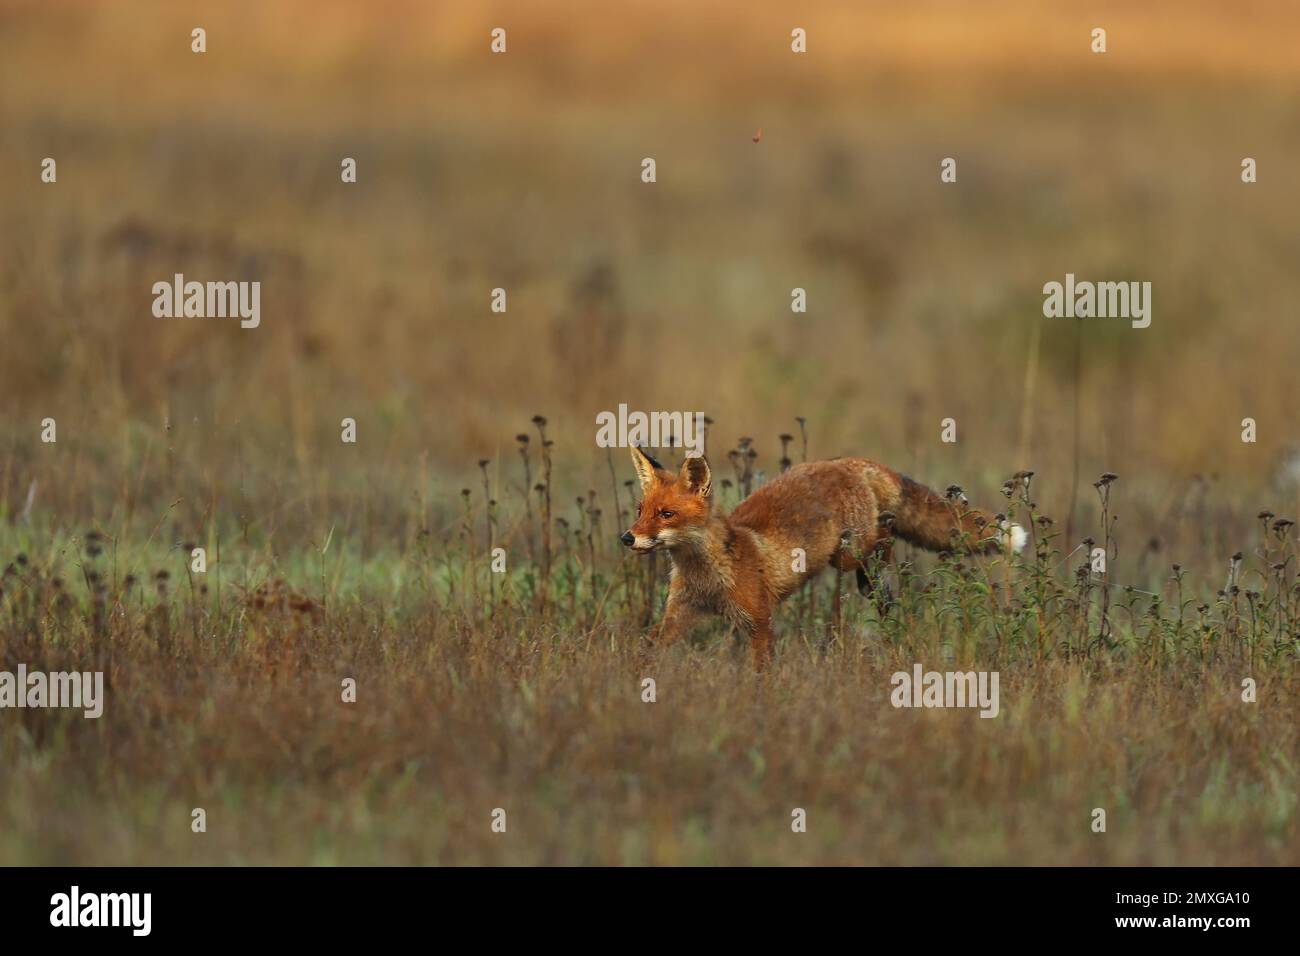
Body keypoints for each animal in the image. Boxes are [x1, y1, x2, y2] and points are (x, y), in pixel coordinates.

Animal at [620, 446, 1027, 669]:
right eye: (640, 511)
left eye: (666, 515)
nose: (627, 537)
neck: (707, 574)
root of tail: (850, 461)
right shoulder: (680, 614)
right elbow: (647, 646)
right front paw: (633, 681)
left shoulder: (761, 621)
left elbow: (760, 675)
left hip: (847, 552)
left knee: (884, 536)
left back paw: (878, 579)